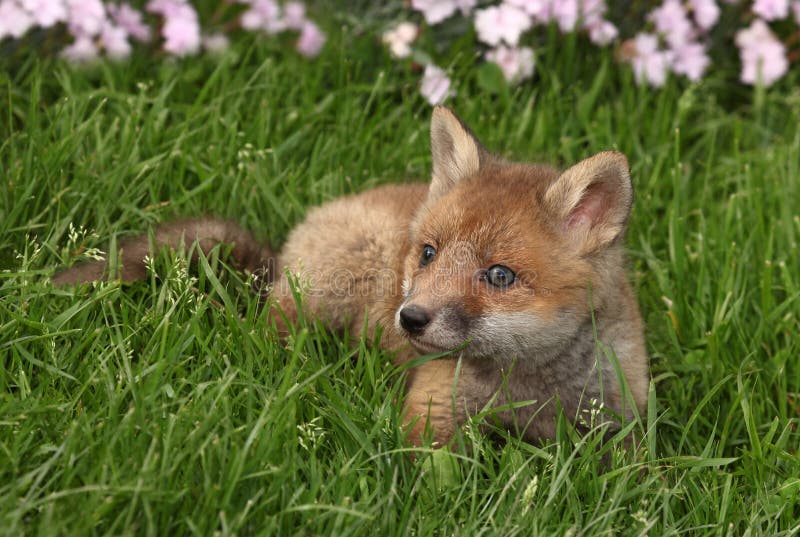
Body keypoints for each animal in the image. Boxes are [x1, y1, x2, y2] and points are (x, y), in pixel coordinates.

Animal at [53, 106, 649, 448]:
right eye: (428, 253)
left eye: (498, 275)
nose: (411, 319)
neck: (529, 390)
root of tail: (288, 244)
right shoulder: (432, 408)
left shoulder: (622, 426)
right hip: (324, 292)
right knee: (270, 329)